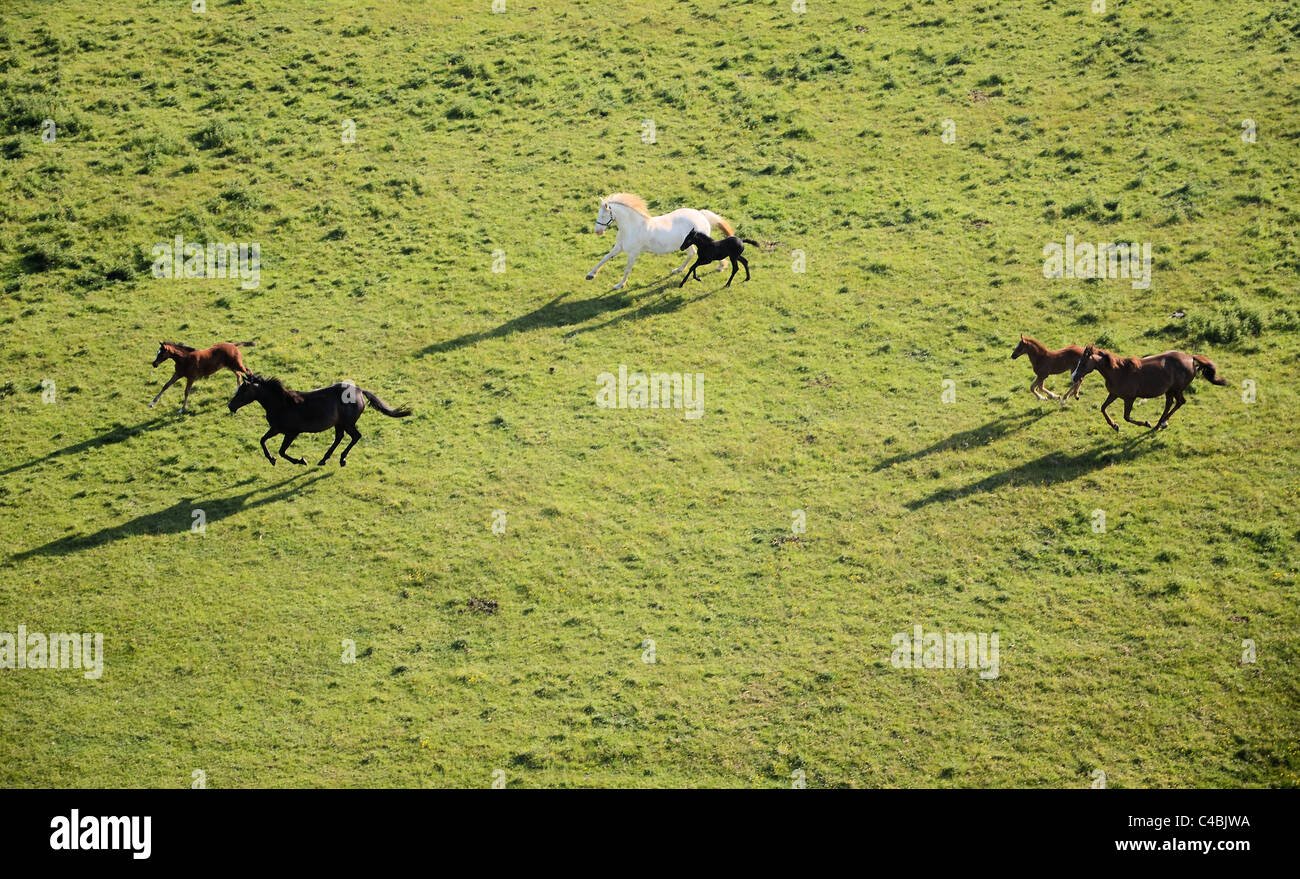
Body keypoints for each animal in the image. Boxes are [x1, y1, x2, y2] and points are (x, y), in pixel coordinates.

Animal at [228, 374, 412, 466]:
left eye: (243, 390)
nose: (230, 406)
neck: (282, 404)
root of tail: (359, 391)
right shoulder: (276, 429)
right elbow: (262, 440)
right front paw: (272, 459)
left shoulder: (291, 432)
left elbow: (282, 451)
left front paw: (301, 461)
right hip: (339, 424)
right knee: (340, 437)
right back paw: (324, 459)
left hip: (347, 423)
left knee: (355, 436)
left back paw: (341, 459)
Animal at [586, 193, 737, 290]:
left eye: (603, 215)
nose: (598, 231)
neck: (632, 227)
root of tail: (701, 215)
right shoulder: (619, 247)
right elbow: (605, 258)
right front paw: (591, 275)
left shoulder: (633, 253)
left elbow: (627, 269)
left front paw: (619, 285)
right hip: (687, 244)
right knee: (691, 254)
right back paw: (678, 270)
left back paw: (721, 267)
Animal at [1069, 345, 1228, 431]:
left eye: (1083, 363)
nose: (1074, 377)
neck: (1119, 371)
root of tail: (1190, 358)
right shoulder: (1113, 394)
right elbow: (1103, 408)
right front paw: (1114, 425)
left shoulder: (1129, 398)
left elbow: (1127, 417)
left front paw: (1146, 423)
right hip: (1170, 390)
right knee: (1171, 403)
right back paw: (1161, 423)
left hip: (1176, 389)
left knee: (1180, 402)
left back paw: (1160, 423)